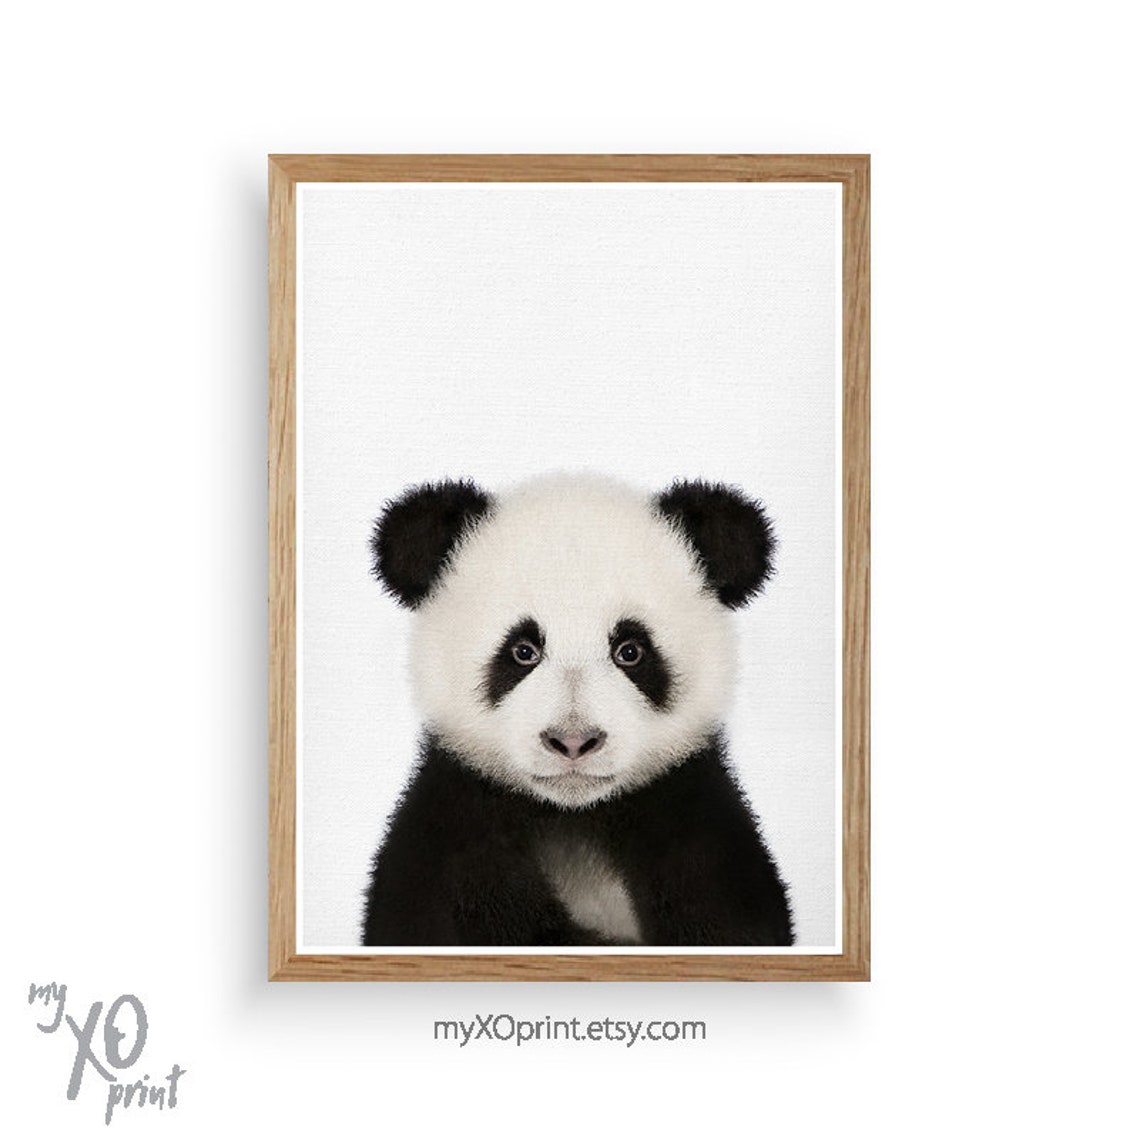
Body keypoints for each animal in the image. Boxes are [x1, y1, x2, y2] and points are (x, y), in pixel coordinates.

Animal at [361, 473, 793, 947]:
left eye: (630, 651)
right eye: (523, 651)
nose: (572, 741)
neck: (573, 816)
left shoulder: (691, 820)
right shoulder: (452, 829)